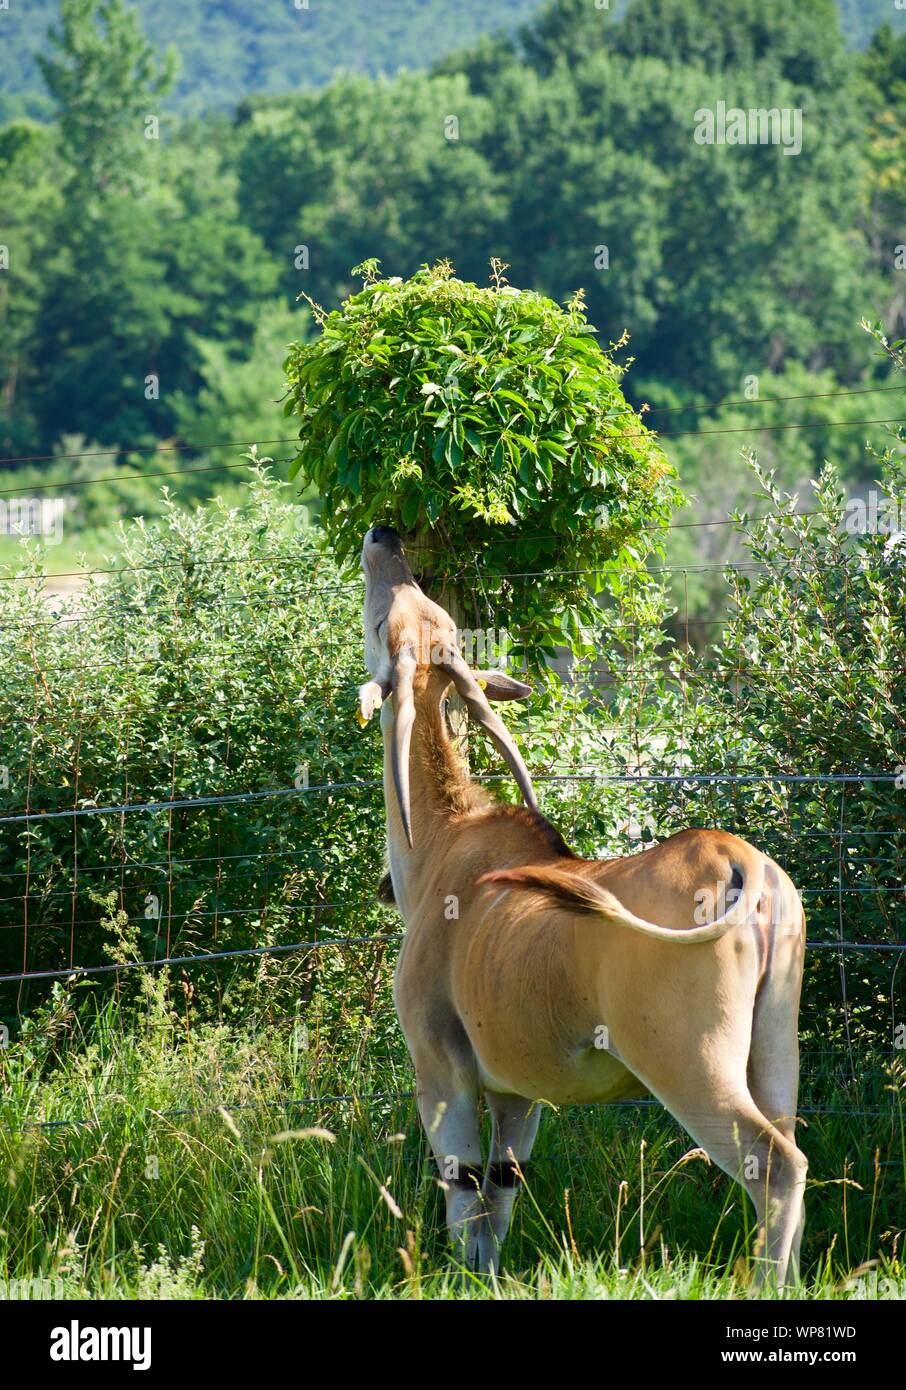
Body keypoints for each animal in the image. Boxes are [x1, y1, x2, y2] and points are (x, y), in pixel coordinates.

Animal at [358, 526, 807, 1287]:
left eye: (386, 616)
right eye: (424, 608)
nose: (384, 535)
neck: (444, 844)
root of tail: (738, 861)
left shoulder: (441, 1070)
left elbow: (463, 1188)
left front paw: (466, 1278)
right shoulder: (516, 1090)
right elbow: (500, 1189)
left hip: (689, 1066)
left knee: (774, 1162)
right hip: (776, 1054)